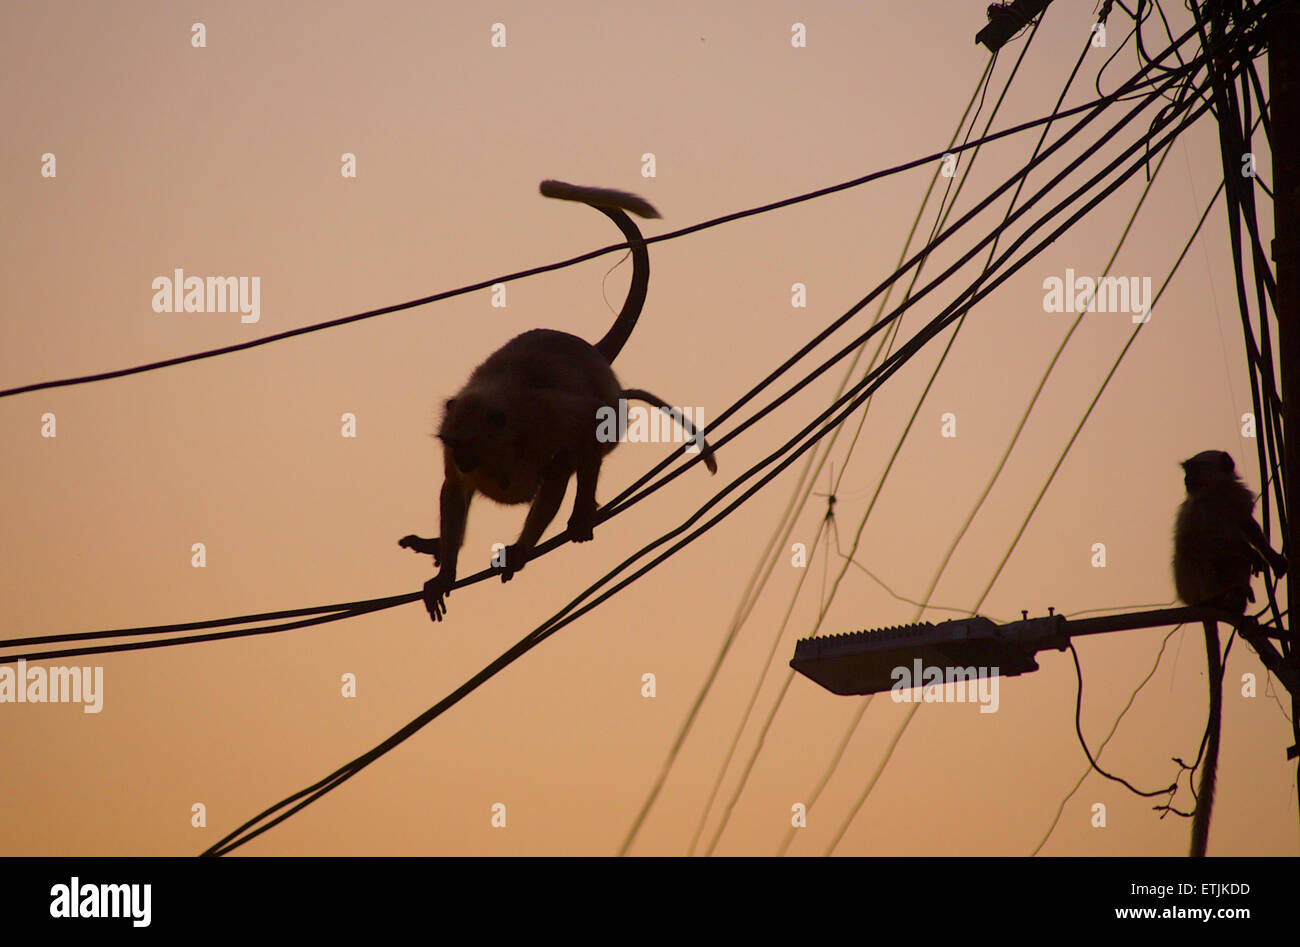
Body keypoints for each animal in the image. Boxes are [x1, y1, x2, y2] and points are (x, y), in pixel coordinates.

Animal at [399, 180, 718, 622]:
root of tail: (593, 353)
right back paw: (440, 546)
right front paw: (446, 572)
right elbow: (454, 487)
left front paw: (520, 550)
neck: (505, 429)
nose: (463, 459)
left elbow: (582, 432)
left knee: (577, 452)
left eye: (472, 444)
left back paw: (581, 509)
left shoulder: (543, 418)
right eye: (455, 445)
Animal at [1171, 449, 1286, 857]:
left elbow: (1248, 527)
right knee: (1202, 551)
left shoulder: (1235, 499)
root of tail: (1197, 604)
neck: (1215, 492)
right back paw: (1224, 596)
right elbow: (1213, 538)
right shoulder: (1202, 509)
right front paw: (1256, 556)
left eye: (1193, 471)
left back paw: (1238, 598)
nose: (1186, 482)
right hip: (1194, 583)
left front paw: (1271, 557)